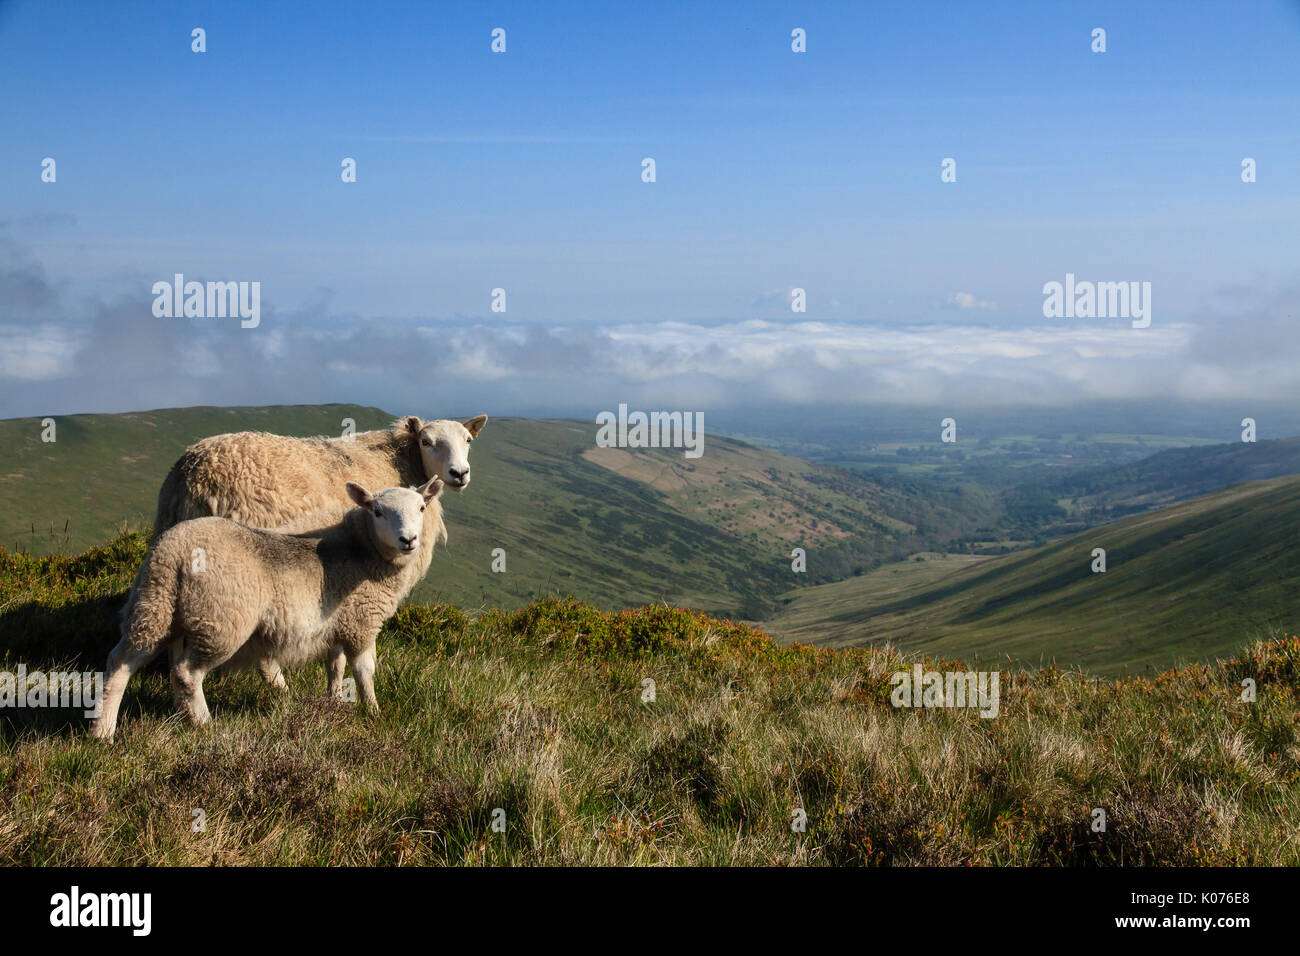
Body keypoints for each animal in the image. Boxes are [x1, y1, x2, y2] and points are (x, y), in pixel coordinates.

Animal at [89, 477, 445, 741]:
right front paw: (373, 712)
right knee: (186, 672)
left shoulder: (338, 622)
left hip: (155, 606)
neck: (363, 547)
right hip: (221, 619)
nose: (409, 539)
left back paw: (104, 730)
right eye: (378, 512)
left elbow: (335, 665)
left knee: (120, 663)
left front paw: (333, 700)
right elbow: (364, 670)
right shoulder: (362, 621)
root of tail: (174, 552)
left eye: (421, 507)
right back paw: (203, 723)